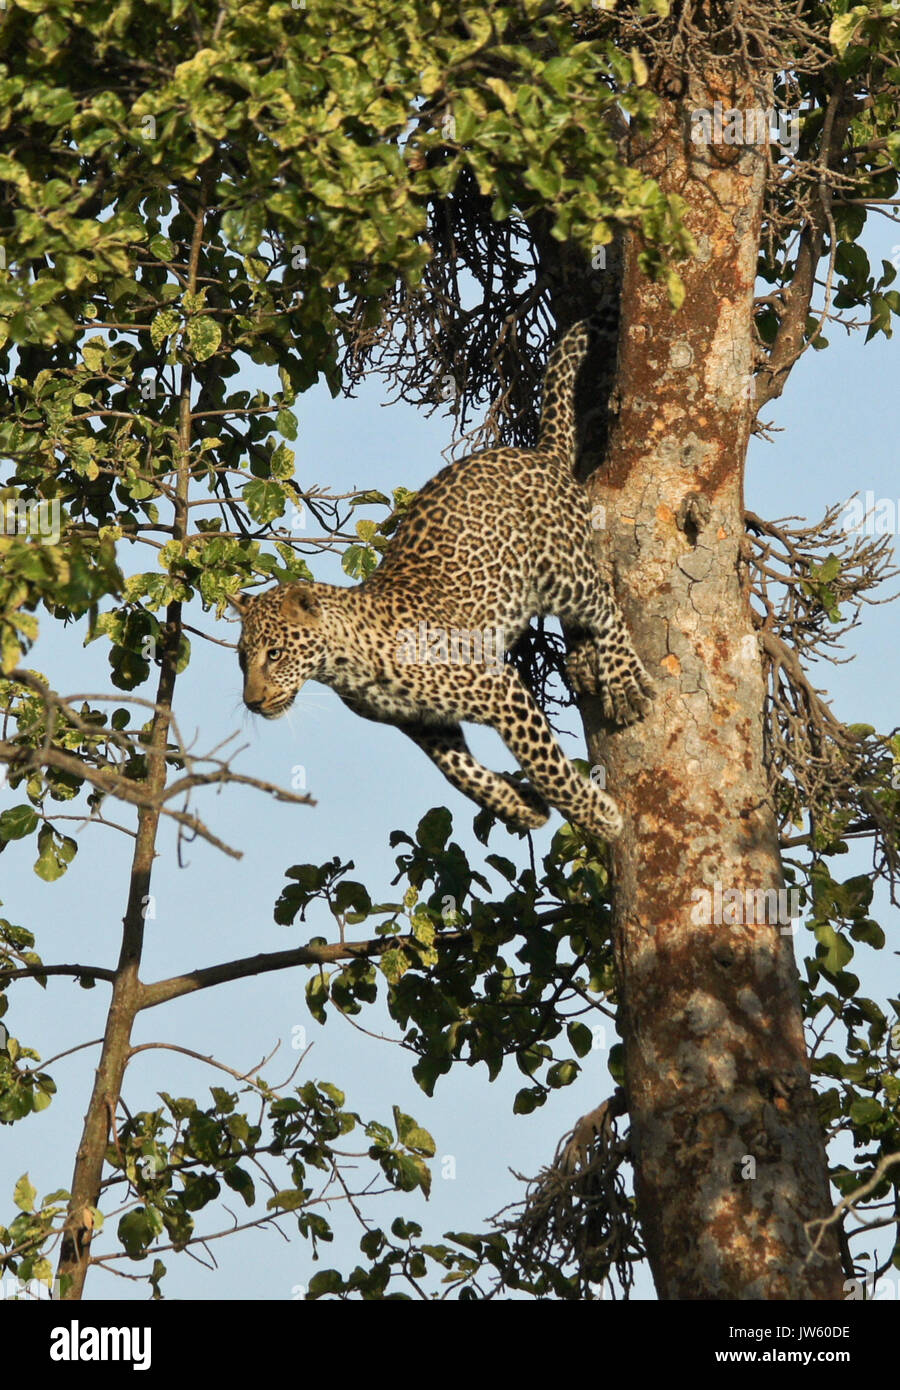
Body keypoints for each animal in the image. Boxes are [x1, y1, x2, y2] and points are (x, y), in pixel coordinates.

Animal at [230, 317, 655, 839]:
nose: (252, 702)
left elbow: (545, 763)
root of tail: (540, 453)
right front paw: (523, 805)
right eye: (242, 659)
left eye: (275, 654)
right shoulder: (427, 726)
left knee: (605, 605)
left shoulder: (498, 686)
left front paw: (597, 817)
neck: (346, 665)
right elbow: (461, 775)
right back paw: (582, 662)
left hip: (563, 572)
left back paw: (624, 682)